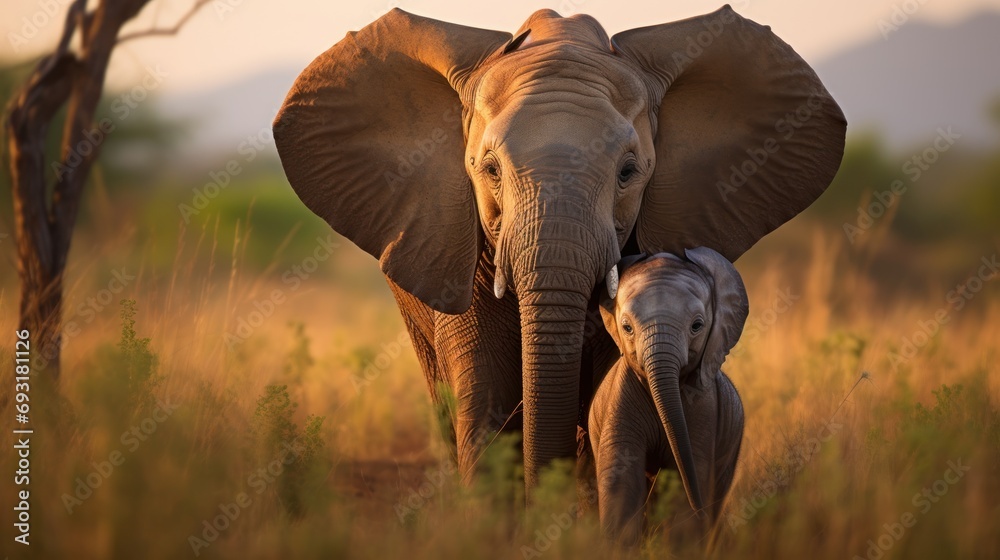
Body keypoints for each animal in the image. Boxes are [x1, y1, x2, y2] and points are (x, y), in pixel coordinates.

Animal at [588, 248, 746, 544]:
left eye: (697, 326)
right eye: (627, 328)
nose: (700, 509)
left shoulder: (703, 404)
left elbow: (688, 470)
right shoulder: (622, 396)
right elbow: (620, 475)